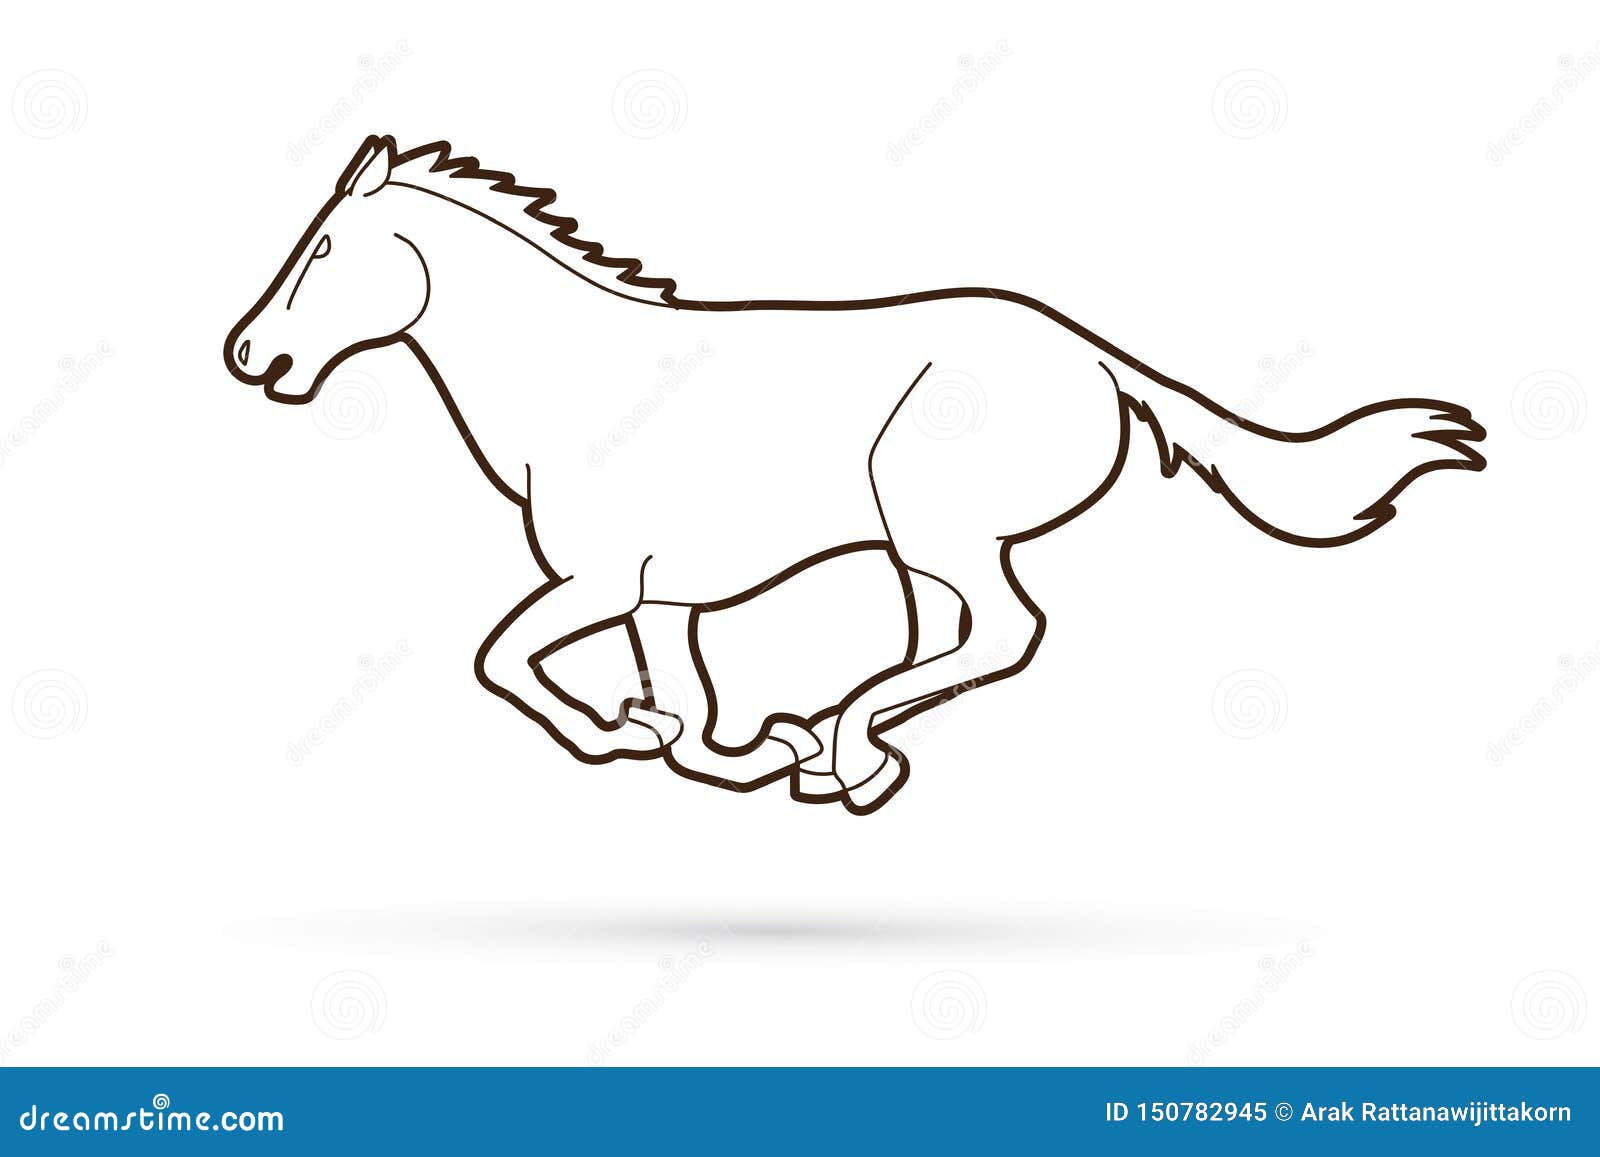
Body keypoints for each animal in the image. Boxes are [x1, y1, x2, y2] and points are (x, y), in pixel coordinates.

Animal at [223, 135, 1486, 815]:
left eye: (323, 248)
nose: (247, 354)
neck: (574, 381)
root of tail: (1089, 352)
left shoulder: (601, 586)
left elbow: (500, 656)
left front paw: (624, 736)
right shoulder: (662, 600)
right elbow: (690, 715)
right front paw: (721, 747)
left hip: (941, 528)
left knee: (1005, 632)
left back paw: (847, 744)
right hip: (919, 547)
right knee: (948, 637)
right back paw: (838, 752)